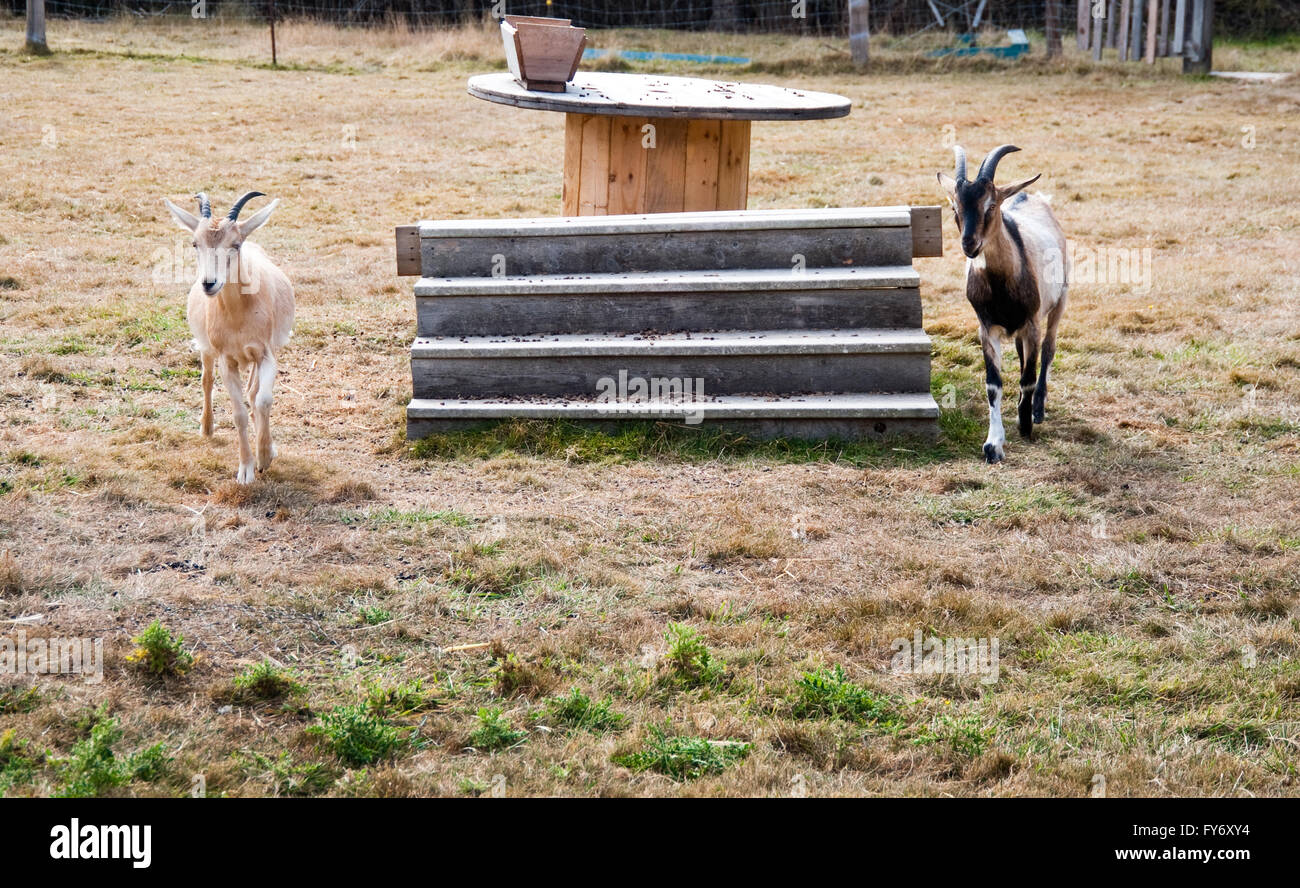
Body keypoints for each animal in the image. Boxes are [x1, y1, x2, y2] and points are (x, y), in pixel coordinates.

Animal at [163, 191, 295, 484]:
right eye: (195, 243)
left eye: (235, 244)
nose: (209, 283)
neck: (239, 316)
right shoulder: (227, 361)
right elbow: (238, 414)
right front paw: (246, 470)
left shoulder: (266, 354)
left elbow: (263, 400)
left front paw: (265, 456)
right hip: (207, 349)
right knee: (207, 380)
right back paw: (207, 428)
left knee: (254, 392)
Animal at [938, 145, 1068, 464]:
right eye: (954, 208)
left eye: (992, 206)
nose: (969, 244)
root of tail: (1029, 196)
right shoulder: (987, 328)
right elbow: (993, 384)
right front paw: (993, 445)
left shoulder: (1032, 322)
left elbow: (1028, 376)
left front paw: (1025, 424)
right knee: (1023, 354)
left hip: (1059, 301)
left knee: (1048, 350)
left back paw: (1037, 408)